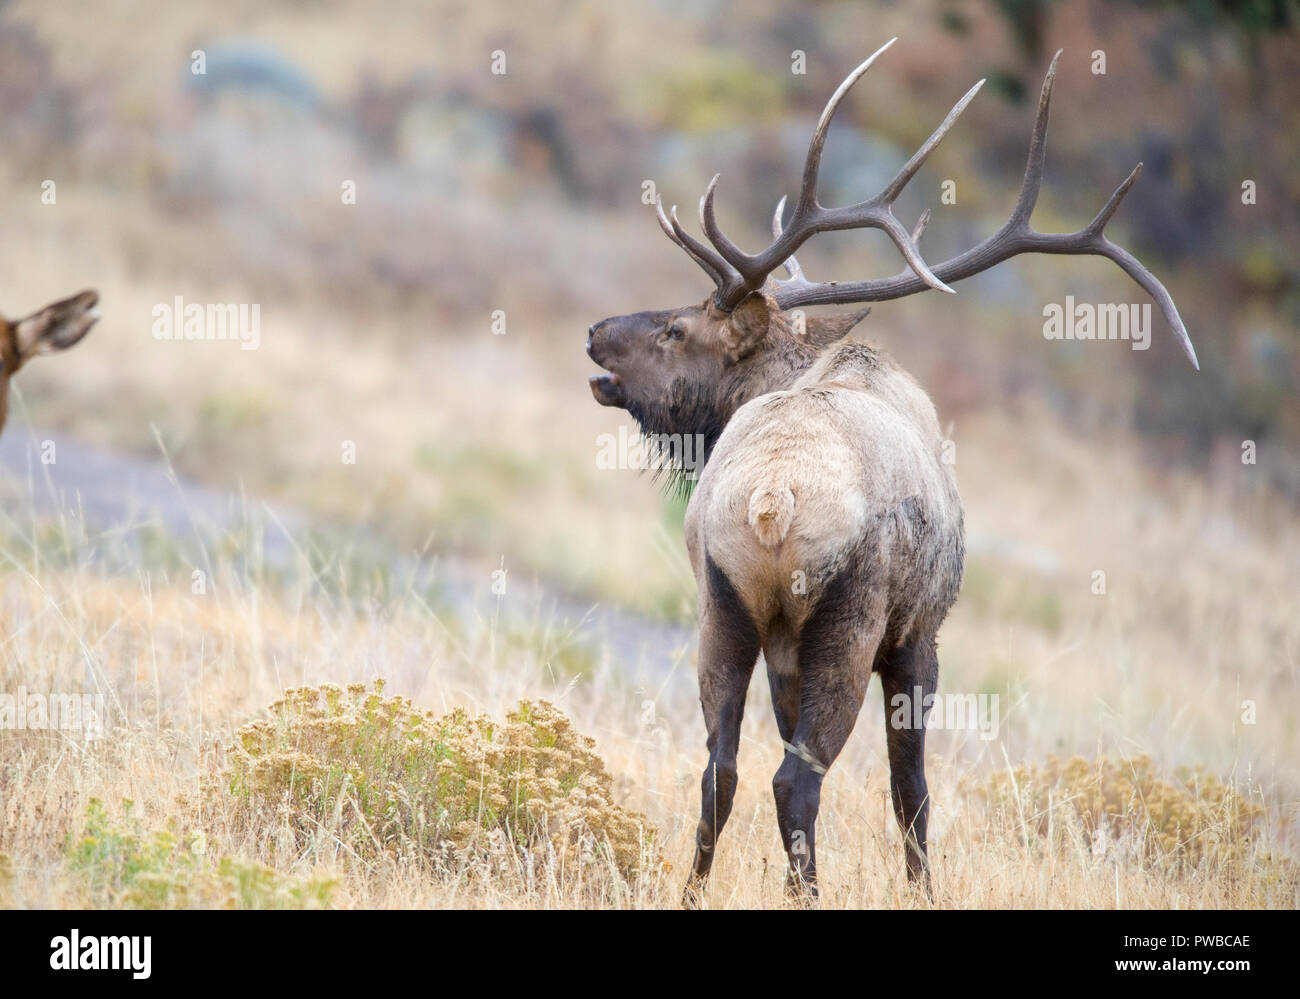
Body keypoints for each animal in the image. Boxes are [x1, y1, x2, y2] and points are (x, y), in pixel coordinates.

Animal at [586, 41, 1197, 904]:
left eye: (674, 328)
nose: (596, 331)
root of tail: (770, 501)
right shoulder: (922, 631)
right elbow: (913, 788)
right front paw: (923, 886)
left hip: (723, 605)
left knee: (722, 769)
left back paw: (696, 889)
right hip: (851, 619)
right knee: (794, 779)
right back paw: (804, 891)